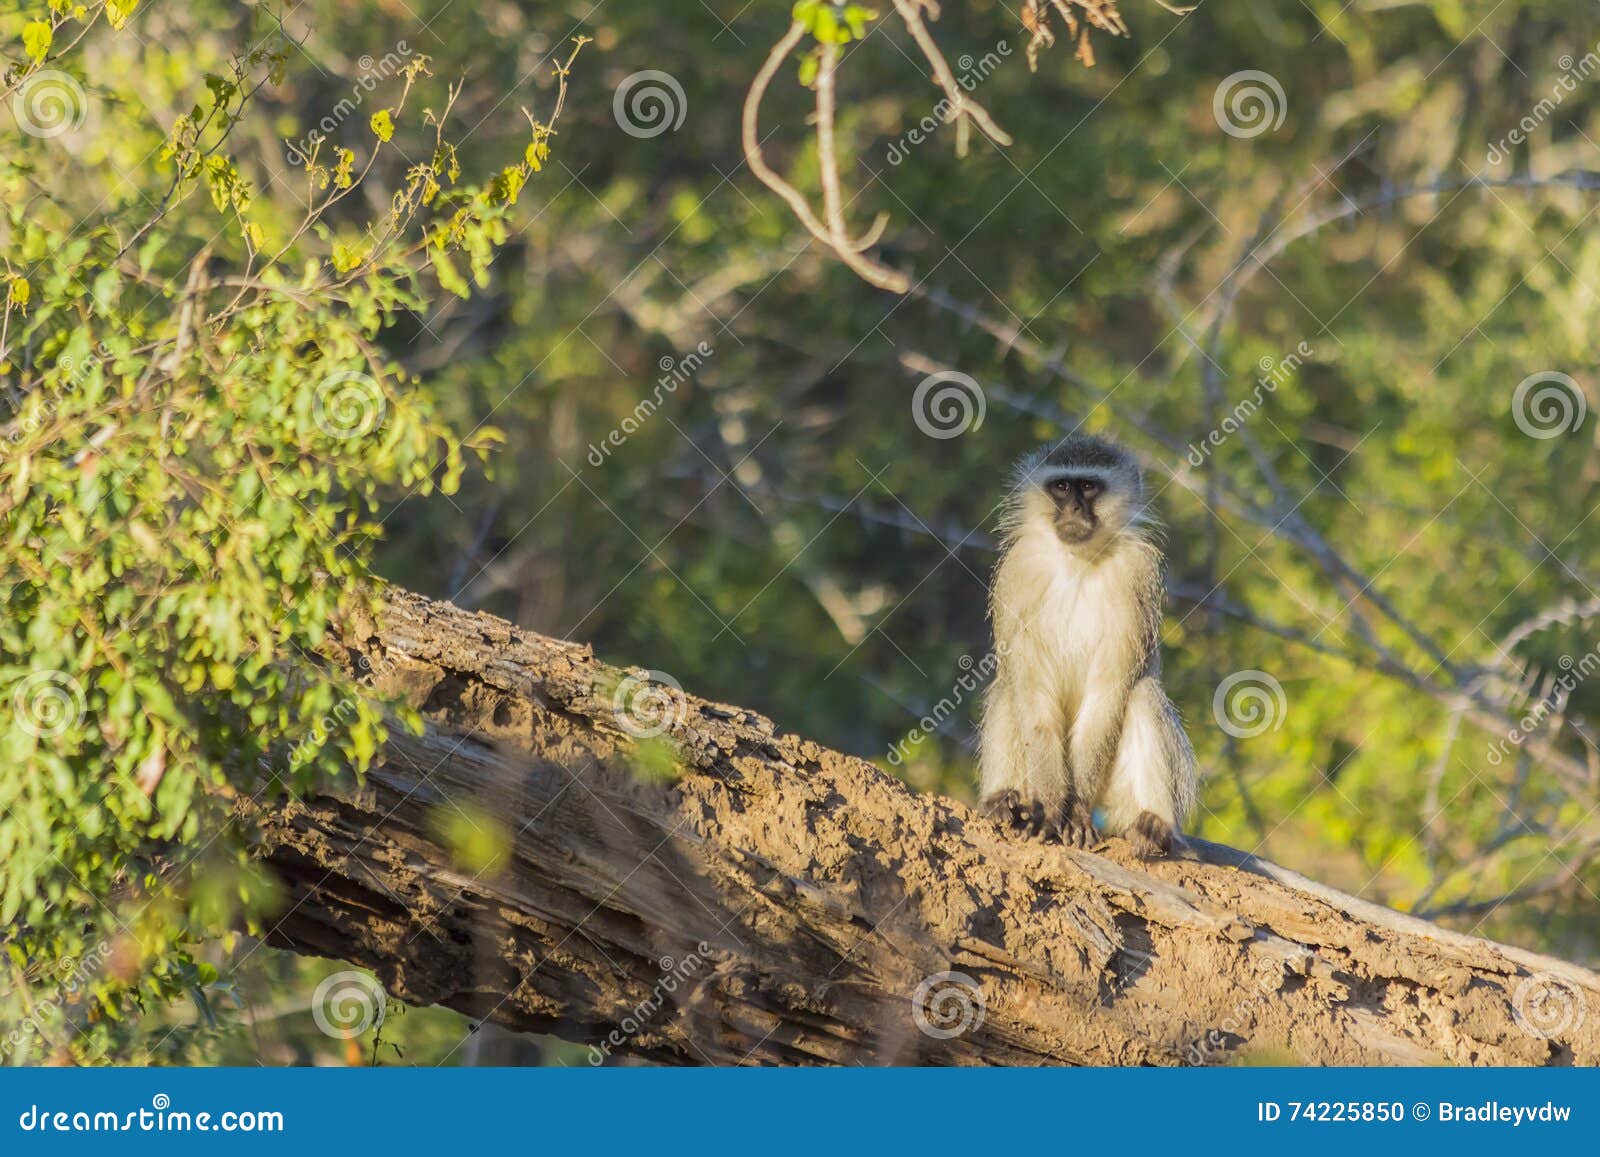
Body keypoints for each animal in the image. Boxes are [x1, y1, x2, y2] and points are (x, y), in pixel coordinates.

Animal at [977, 434, 1197, 858]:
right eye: (1062, 486)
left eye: (1090, 486)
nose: (1075, 508)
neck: (1077, 561)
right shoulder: (1018, 572)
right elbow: (1033, 698)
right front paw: (1049, 808)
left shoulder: (1136, 574)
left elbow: (1107, 694)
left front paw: (1075, 811)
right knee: (1007, 687)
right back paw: (1002, 802)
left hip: (1117, 796)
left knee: (1142, 693)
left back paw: (1153, 827)